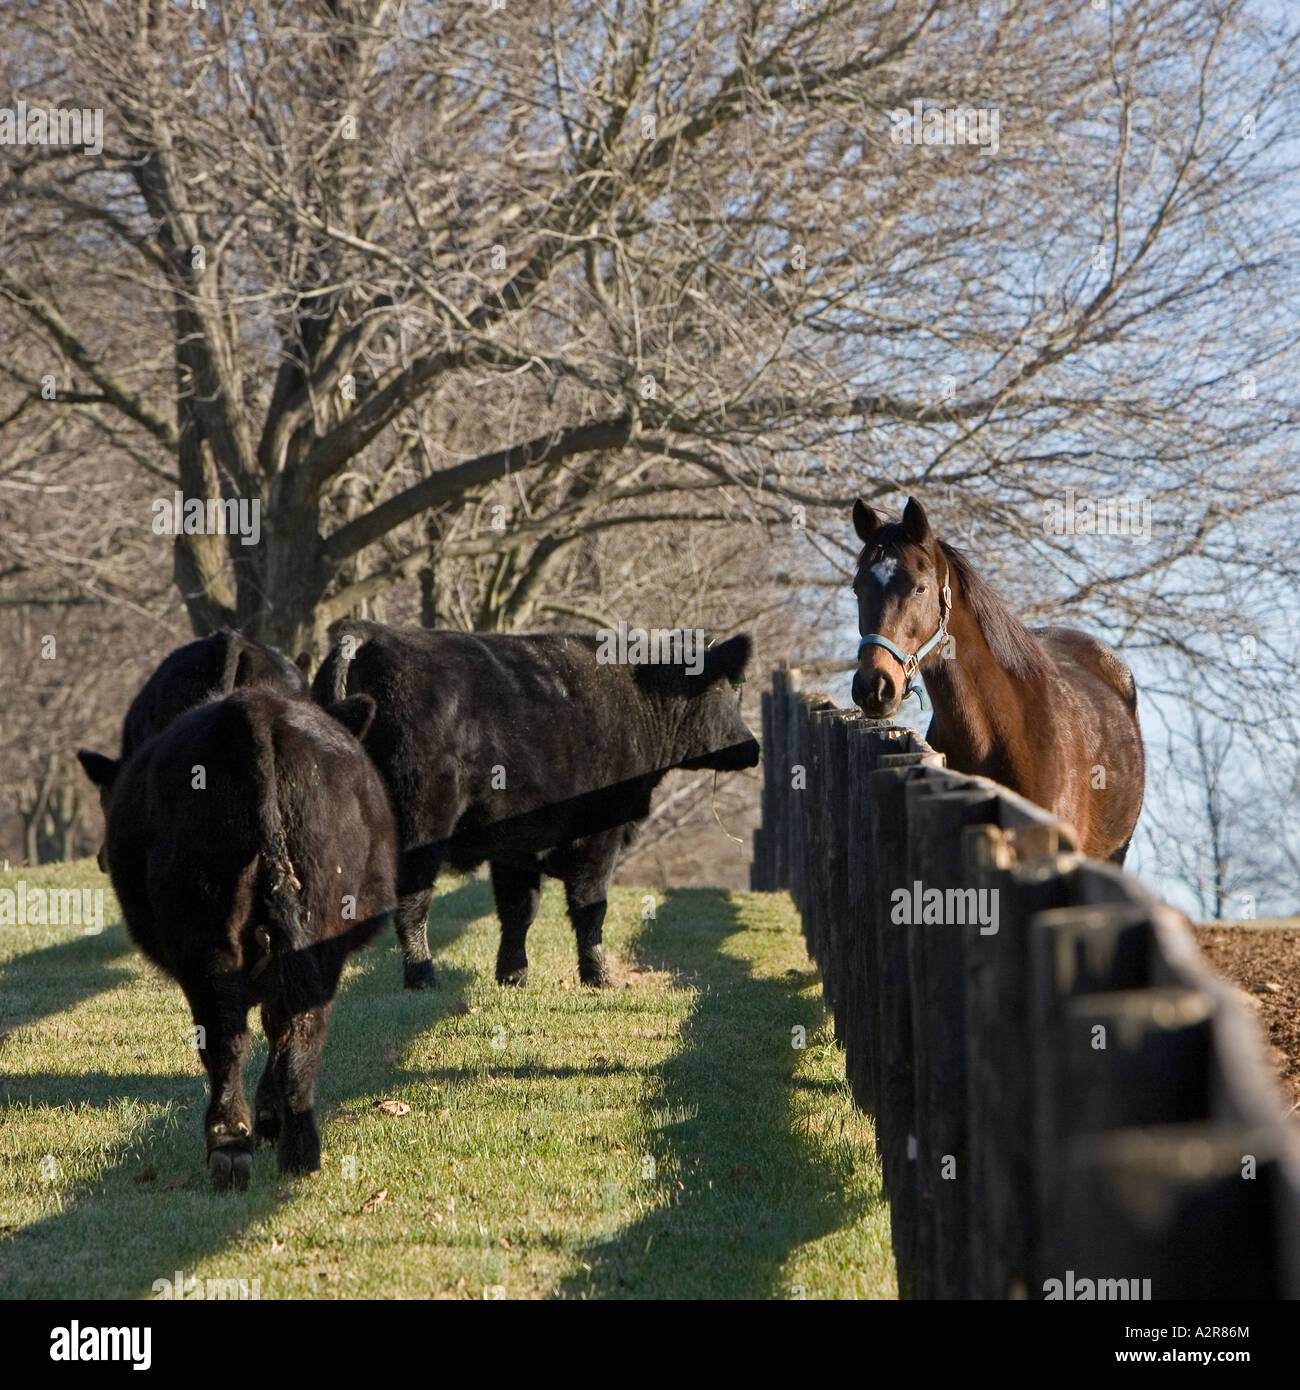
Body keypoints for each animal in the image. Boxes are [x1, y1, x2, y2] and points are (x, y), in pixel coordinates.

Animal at [77, 688, 396, 1190]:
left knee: (235, 1032)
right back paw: (284, 1147)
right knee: (287, 1025)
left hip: (212, 931)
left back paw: (241, 1145)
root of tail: (254, 706)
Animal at [312, 622, 760, 991]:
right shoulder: (601, 834)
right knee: (412, 903)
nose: (753, 747)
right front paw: (598, 977)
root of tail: (371, 637)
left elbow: (518, 911)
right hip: (422, 824)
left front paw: (513, 975)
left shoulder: (517, 846)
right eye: (730, 691)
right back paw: (422, 976)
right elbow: (589, 907)